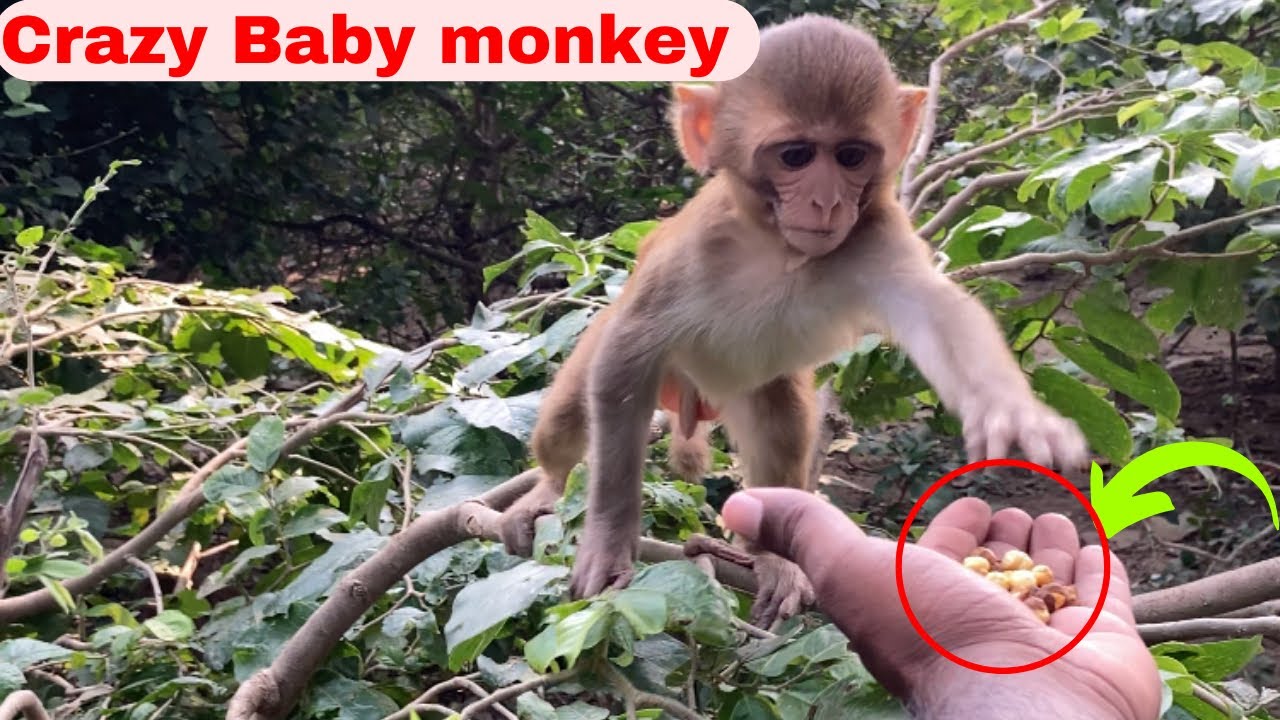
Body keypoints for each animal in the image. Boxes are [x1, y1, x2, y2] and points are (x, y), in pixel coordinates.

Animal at [497, 14, 1090, 624]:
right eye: (796, 156)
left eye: (850, 156)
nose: (827, 203)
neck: (781, 248)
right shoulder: (694, 250)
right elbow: (625, 358)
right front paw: (609, 537)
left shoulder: (876, 232)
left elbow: (937, 312)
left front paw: (1012, 410)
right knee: (573, 407)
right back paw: (549, 485)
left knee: (780, 419)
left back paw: (770, 554)